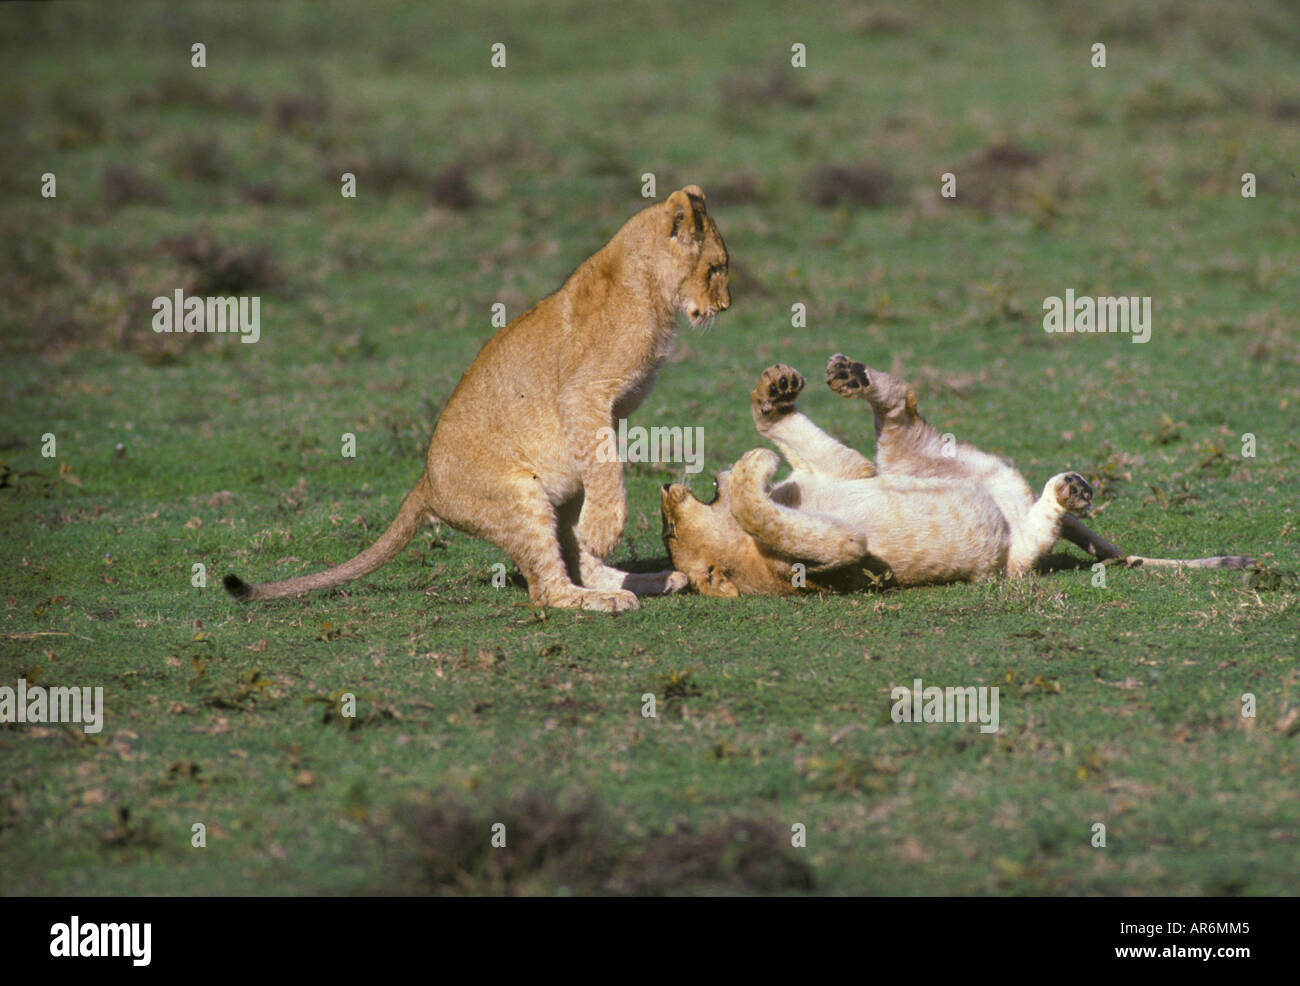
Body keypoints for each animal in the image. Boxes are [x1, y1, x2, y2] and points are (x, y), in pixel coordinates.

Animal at [225, 185, 730, 612]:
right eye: (717, 268)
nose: (725, 308)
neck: (651, 286)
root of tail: (426, 483)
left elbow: (601, 467)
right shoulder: (582, 394)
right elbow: (606, 465)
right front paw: (607, 528)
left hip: (562, 493)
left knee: (575, 558)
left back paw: (653, 580)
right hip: (520, 498)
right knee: (547, 589)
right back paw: (607, 598)